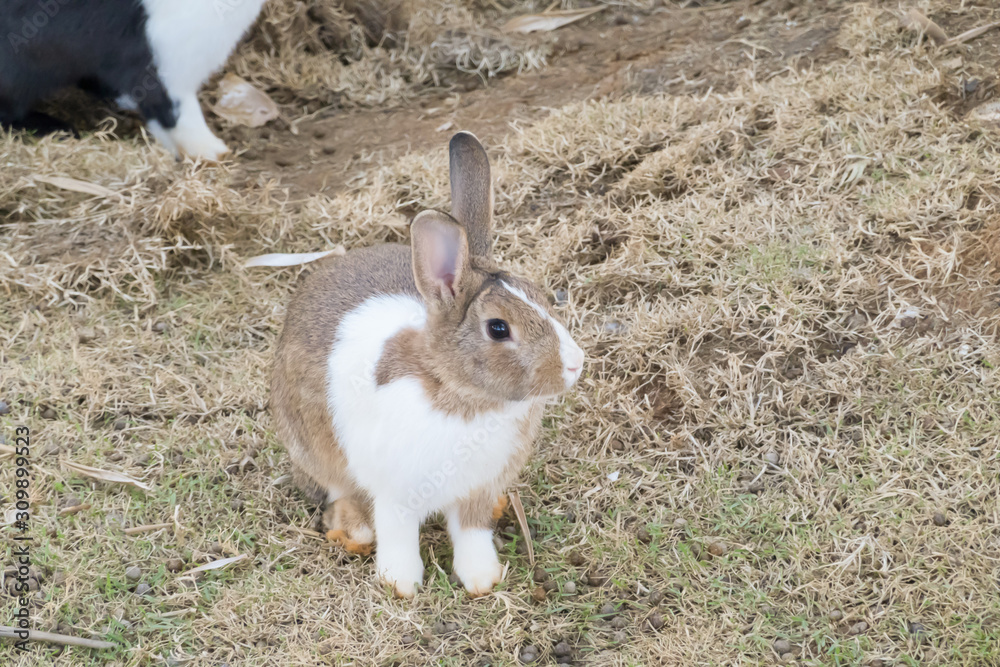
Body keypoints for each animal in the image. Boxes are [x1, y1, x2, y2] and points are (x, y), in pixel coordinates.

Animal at [270, 132, 585, 598]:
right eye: (498, 328)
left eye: (543, 297)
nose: (575, 364)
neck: (462, 395)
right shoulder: (395, 493)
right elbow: (398, 533)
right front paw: (400, 583)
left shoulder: (476, 488)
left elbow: (472, 532)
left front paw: (482, 580)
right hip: (308, 442)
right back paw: (353, 534)